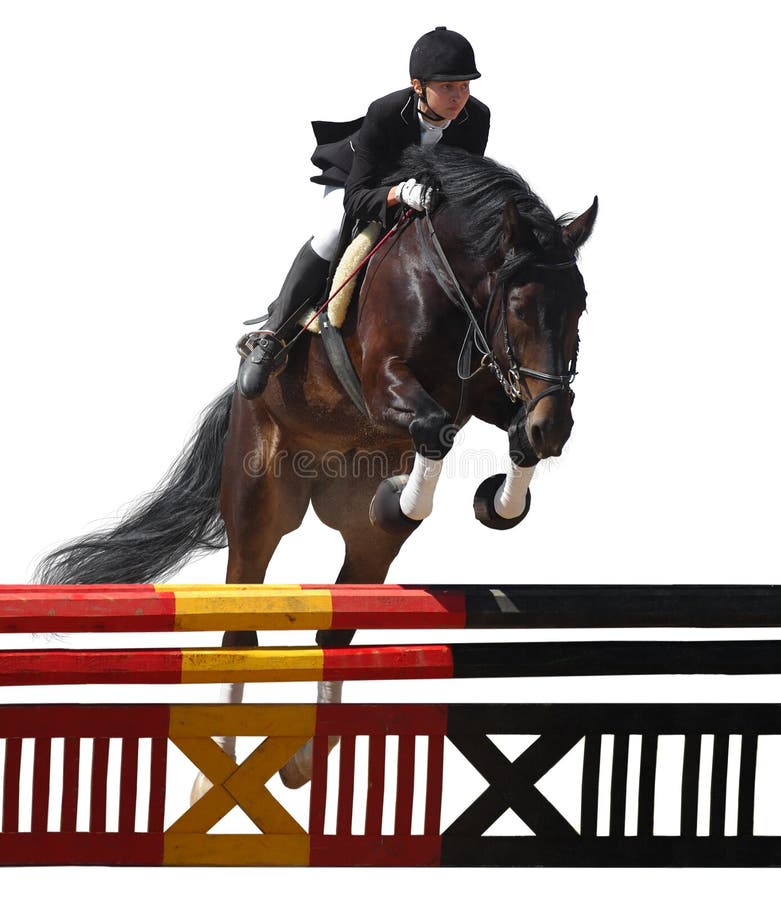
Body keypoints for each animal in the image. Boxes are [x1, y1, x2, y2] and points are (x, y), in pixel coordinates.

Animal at [35, 145, 597, 793]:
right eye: (520, 307)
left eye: (580, 305)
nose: (556, 426)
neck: (449, 282)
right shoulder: (385, 383)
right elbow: (436, 430)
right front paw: (403, 499)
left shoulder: (489, 389)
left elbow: (511, 438)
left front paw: (500, 502)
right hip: (260, 504)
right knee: (241, 630)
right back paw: (219, 769)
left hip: (364, 542)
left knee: (337, 627)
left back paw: (307, 755)